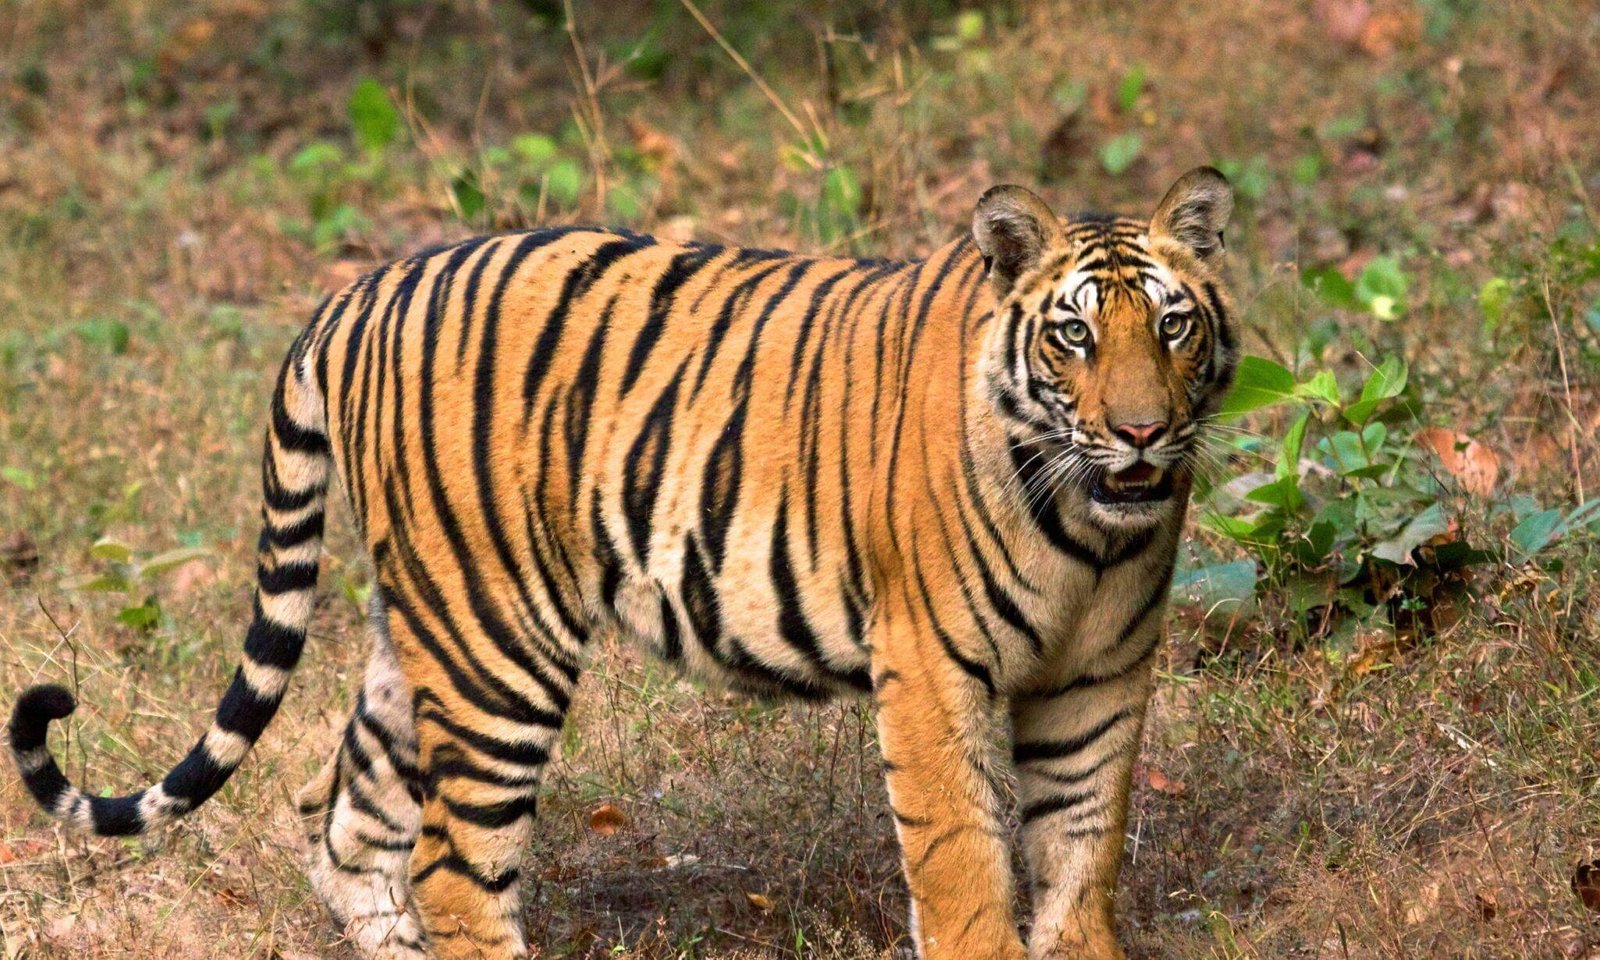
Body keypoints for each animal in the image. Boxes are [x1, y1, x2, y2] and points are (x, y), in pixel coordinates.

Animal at [9, 166, 1235, 959]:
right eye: (1073, 335)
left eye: (1172, 327)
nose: (1138, 433)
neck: (1087, 531)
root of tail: (362, 287)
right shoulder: (934, 674)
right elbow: (968, 869)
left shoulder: (1099, 677)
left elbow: (1081, 855)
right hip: (498, 639)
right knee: (454, 864)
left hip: (423, 633)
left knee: (348, 815)